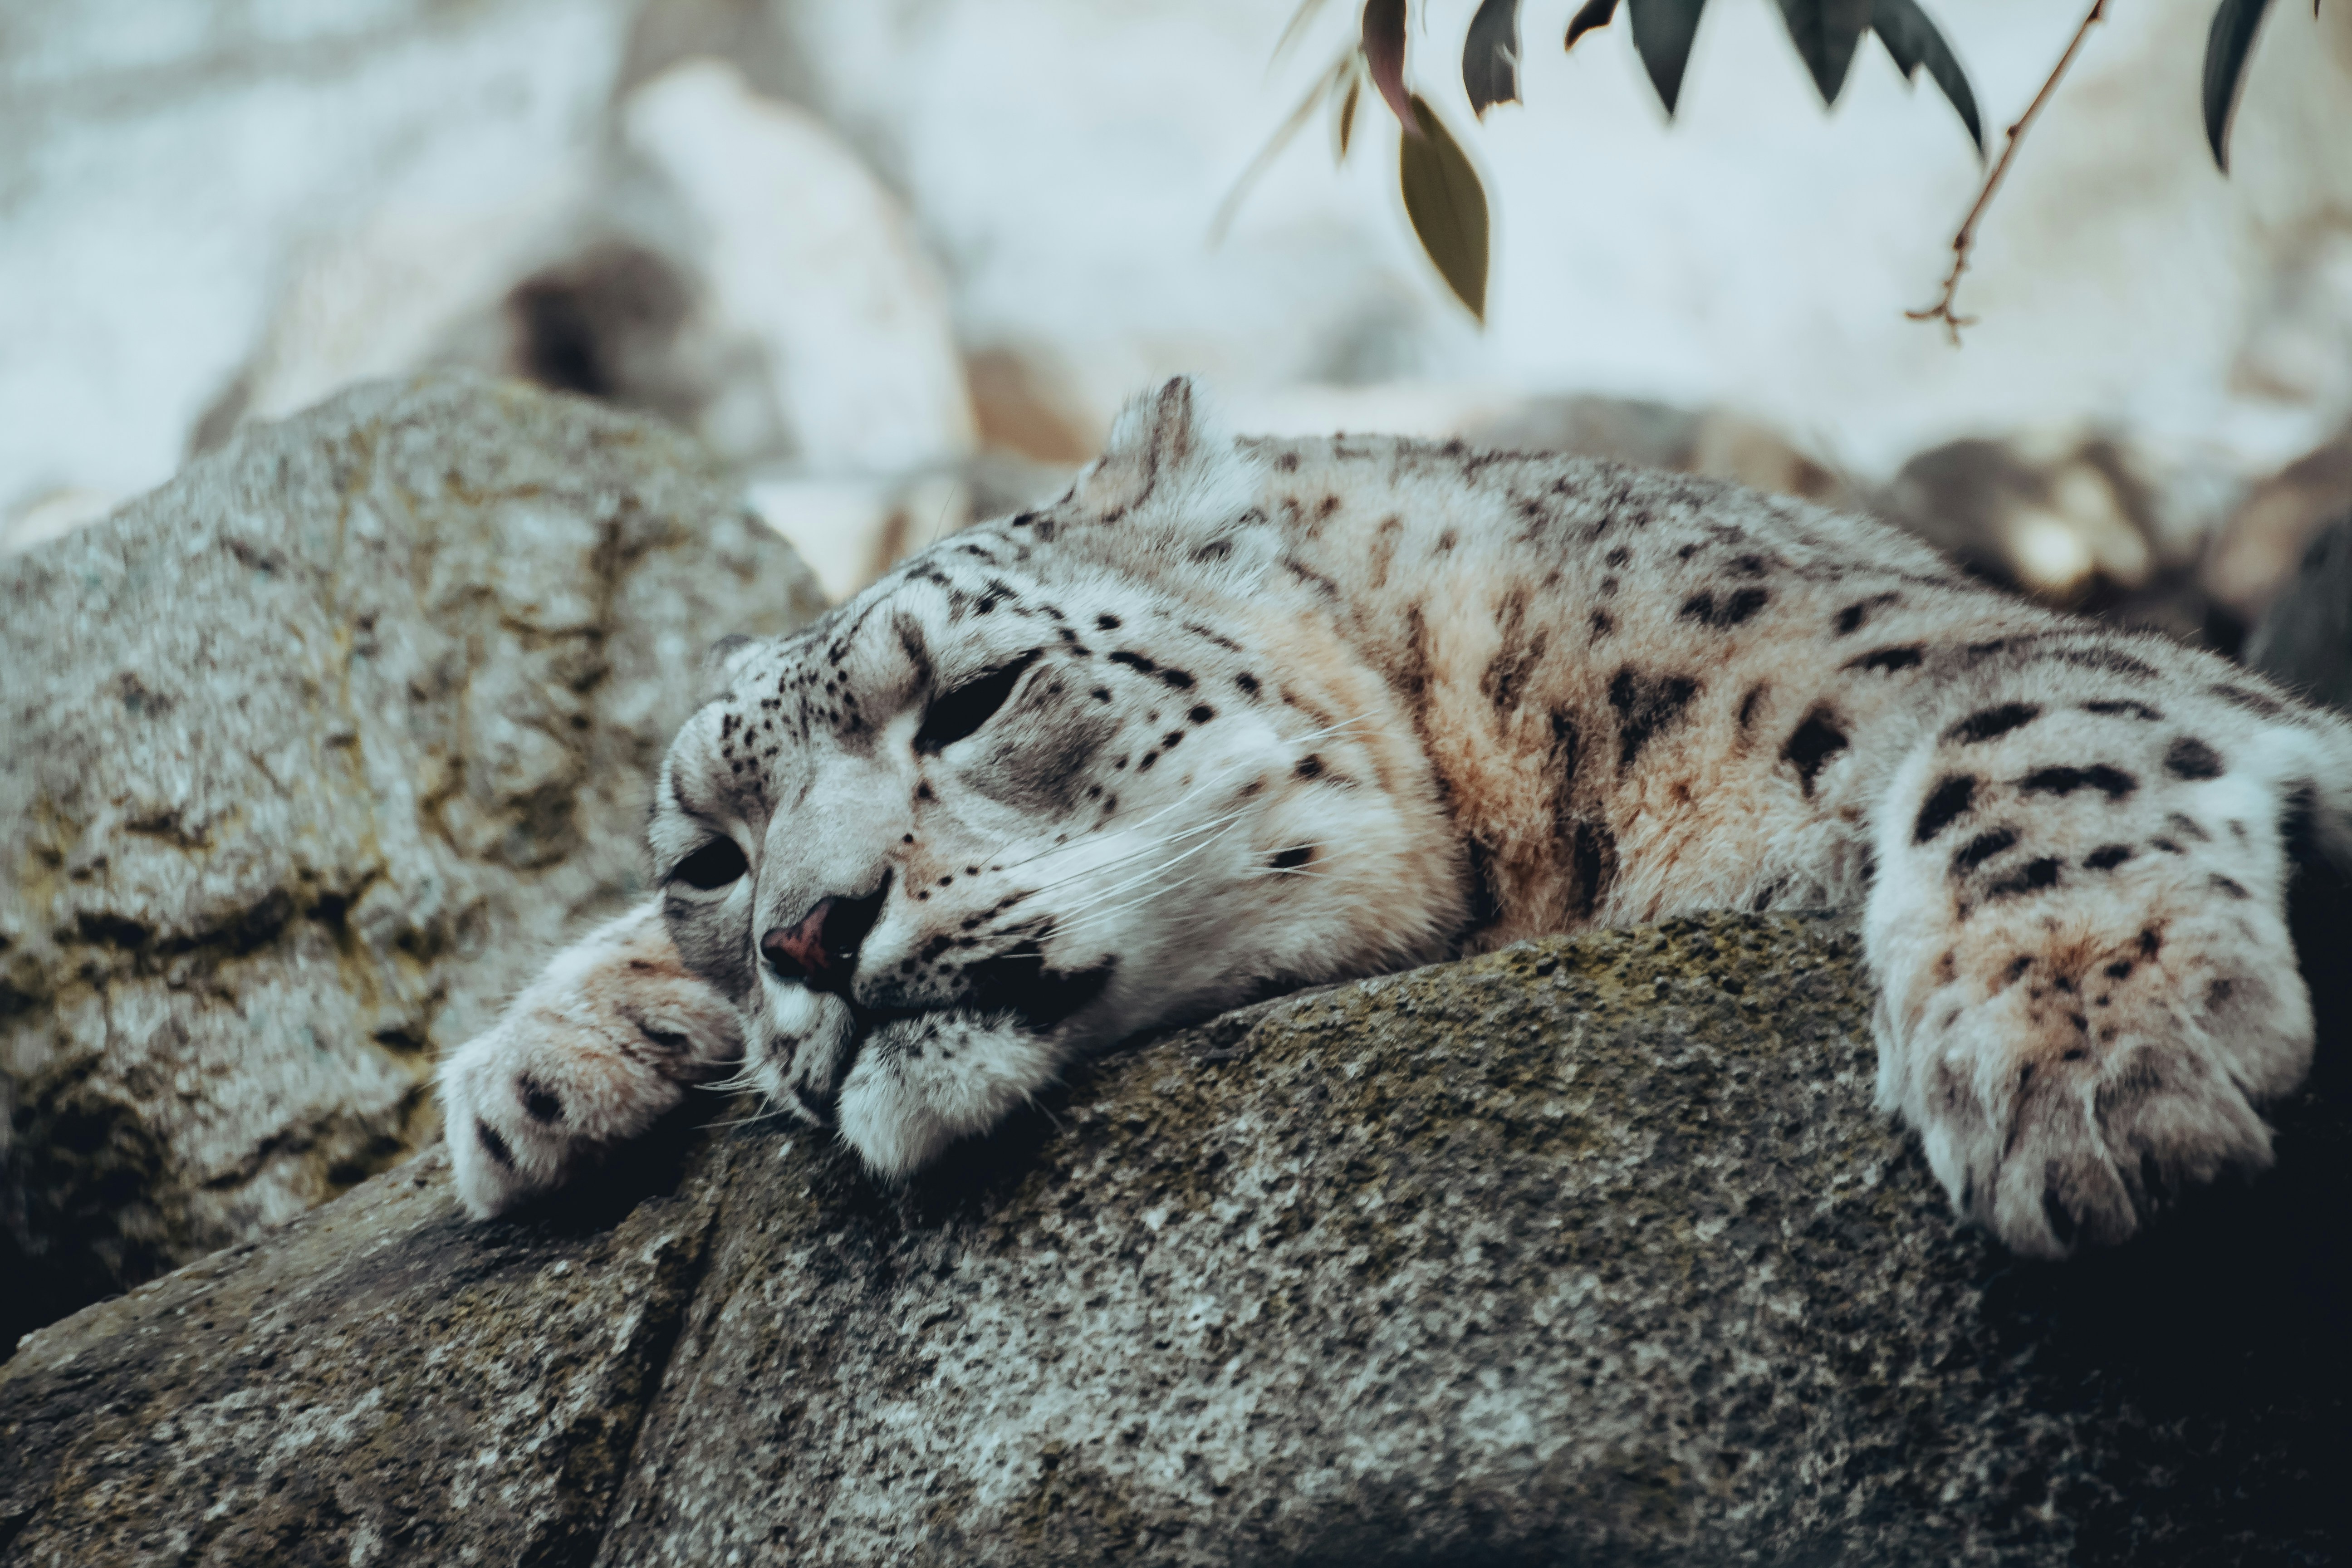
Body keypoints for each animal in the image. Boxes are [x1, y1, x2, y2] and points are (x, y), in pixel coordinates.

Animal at [438, 378, 2352, 1259]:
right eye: (705, 857)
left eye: (973, 697)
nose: (807, 933)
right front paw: (531, 1073)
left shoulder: (1943, 668)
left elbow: (2035, 726)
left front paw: (2086, 1063)